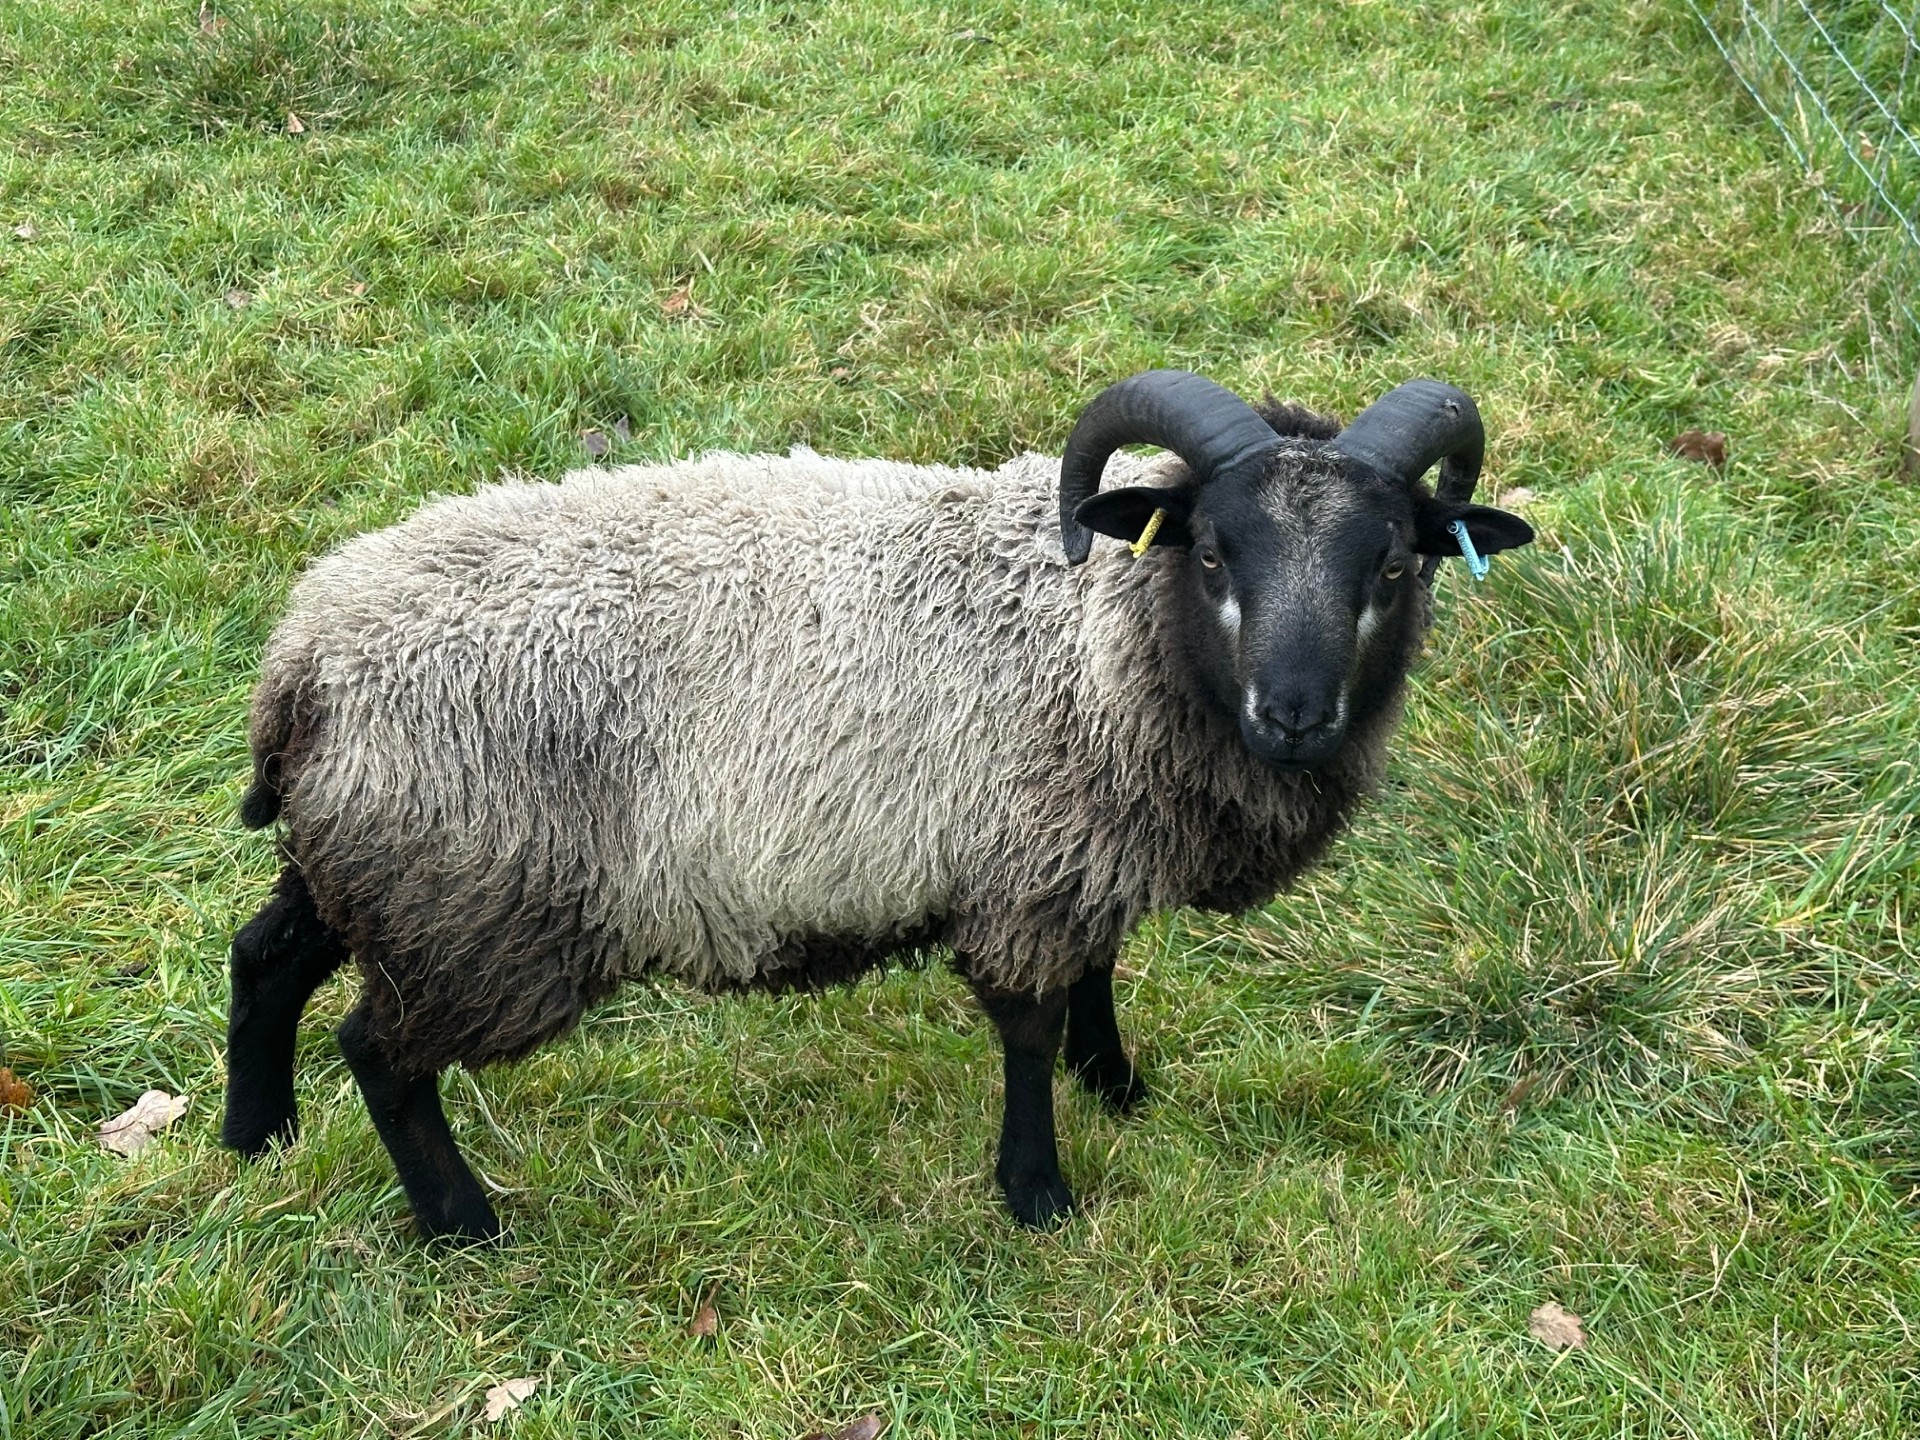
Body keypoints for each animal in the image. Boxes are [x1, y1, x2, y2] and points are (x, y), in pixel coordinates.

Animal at [219, 370, 1534, 1240]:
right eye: (1211, 550)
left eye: (1394, 563)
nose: (1295, 715)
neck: (1094, 631)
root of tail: (306, 656)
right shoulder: (1028, 872)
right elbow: (1028, 1029)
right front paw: (1038, 1193)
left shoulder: (1082, 857)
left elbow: (1101, 974)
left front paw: (1117, 1088)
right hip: (474, 917)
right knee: (380, 1053)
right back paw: (463, 1225)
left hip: (375, 869)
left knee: (265, 952)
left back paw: (254, 1134)